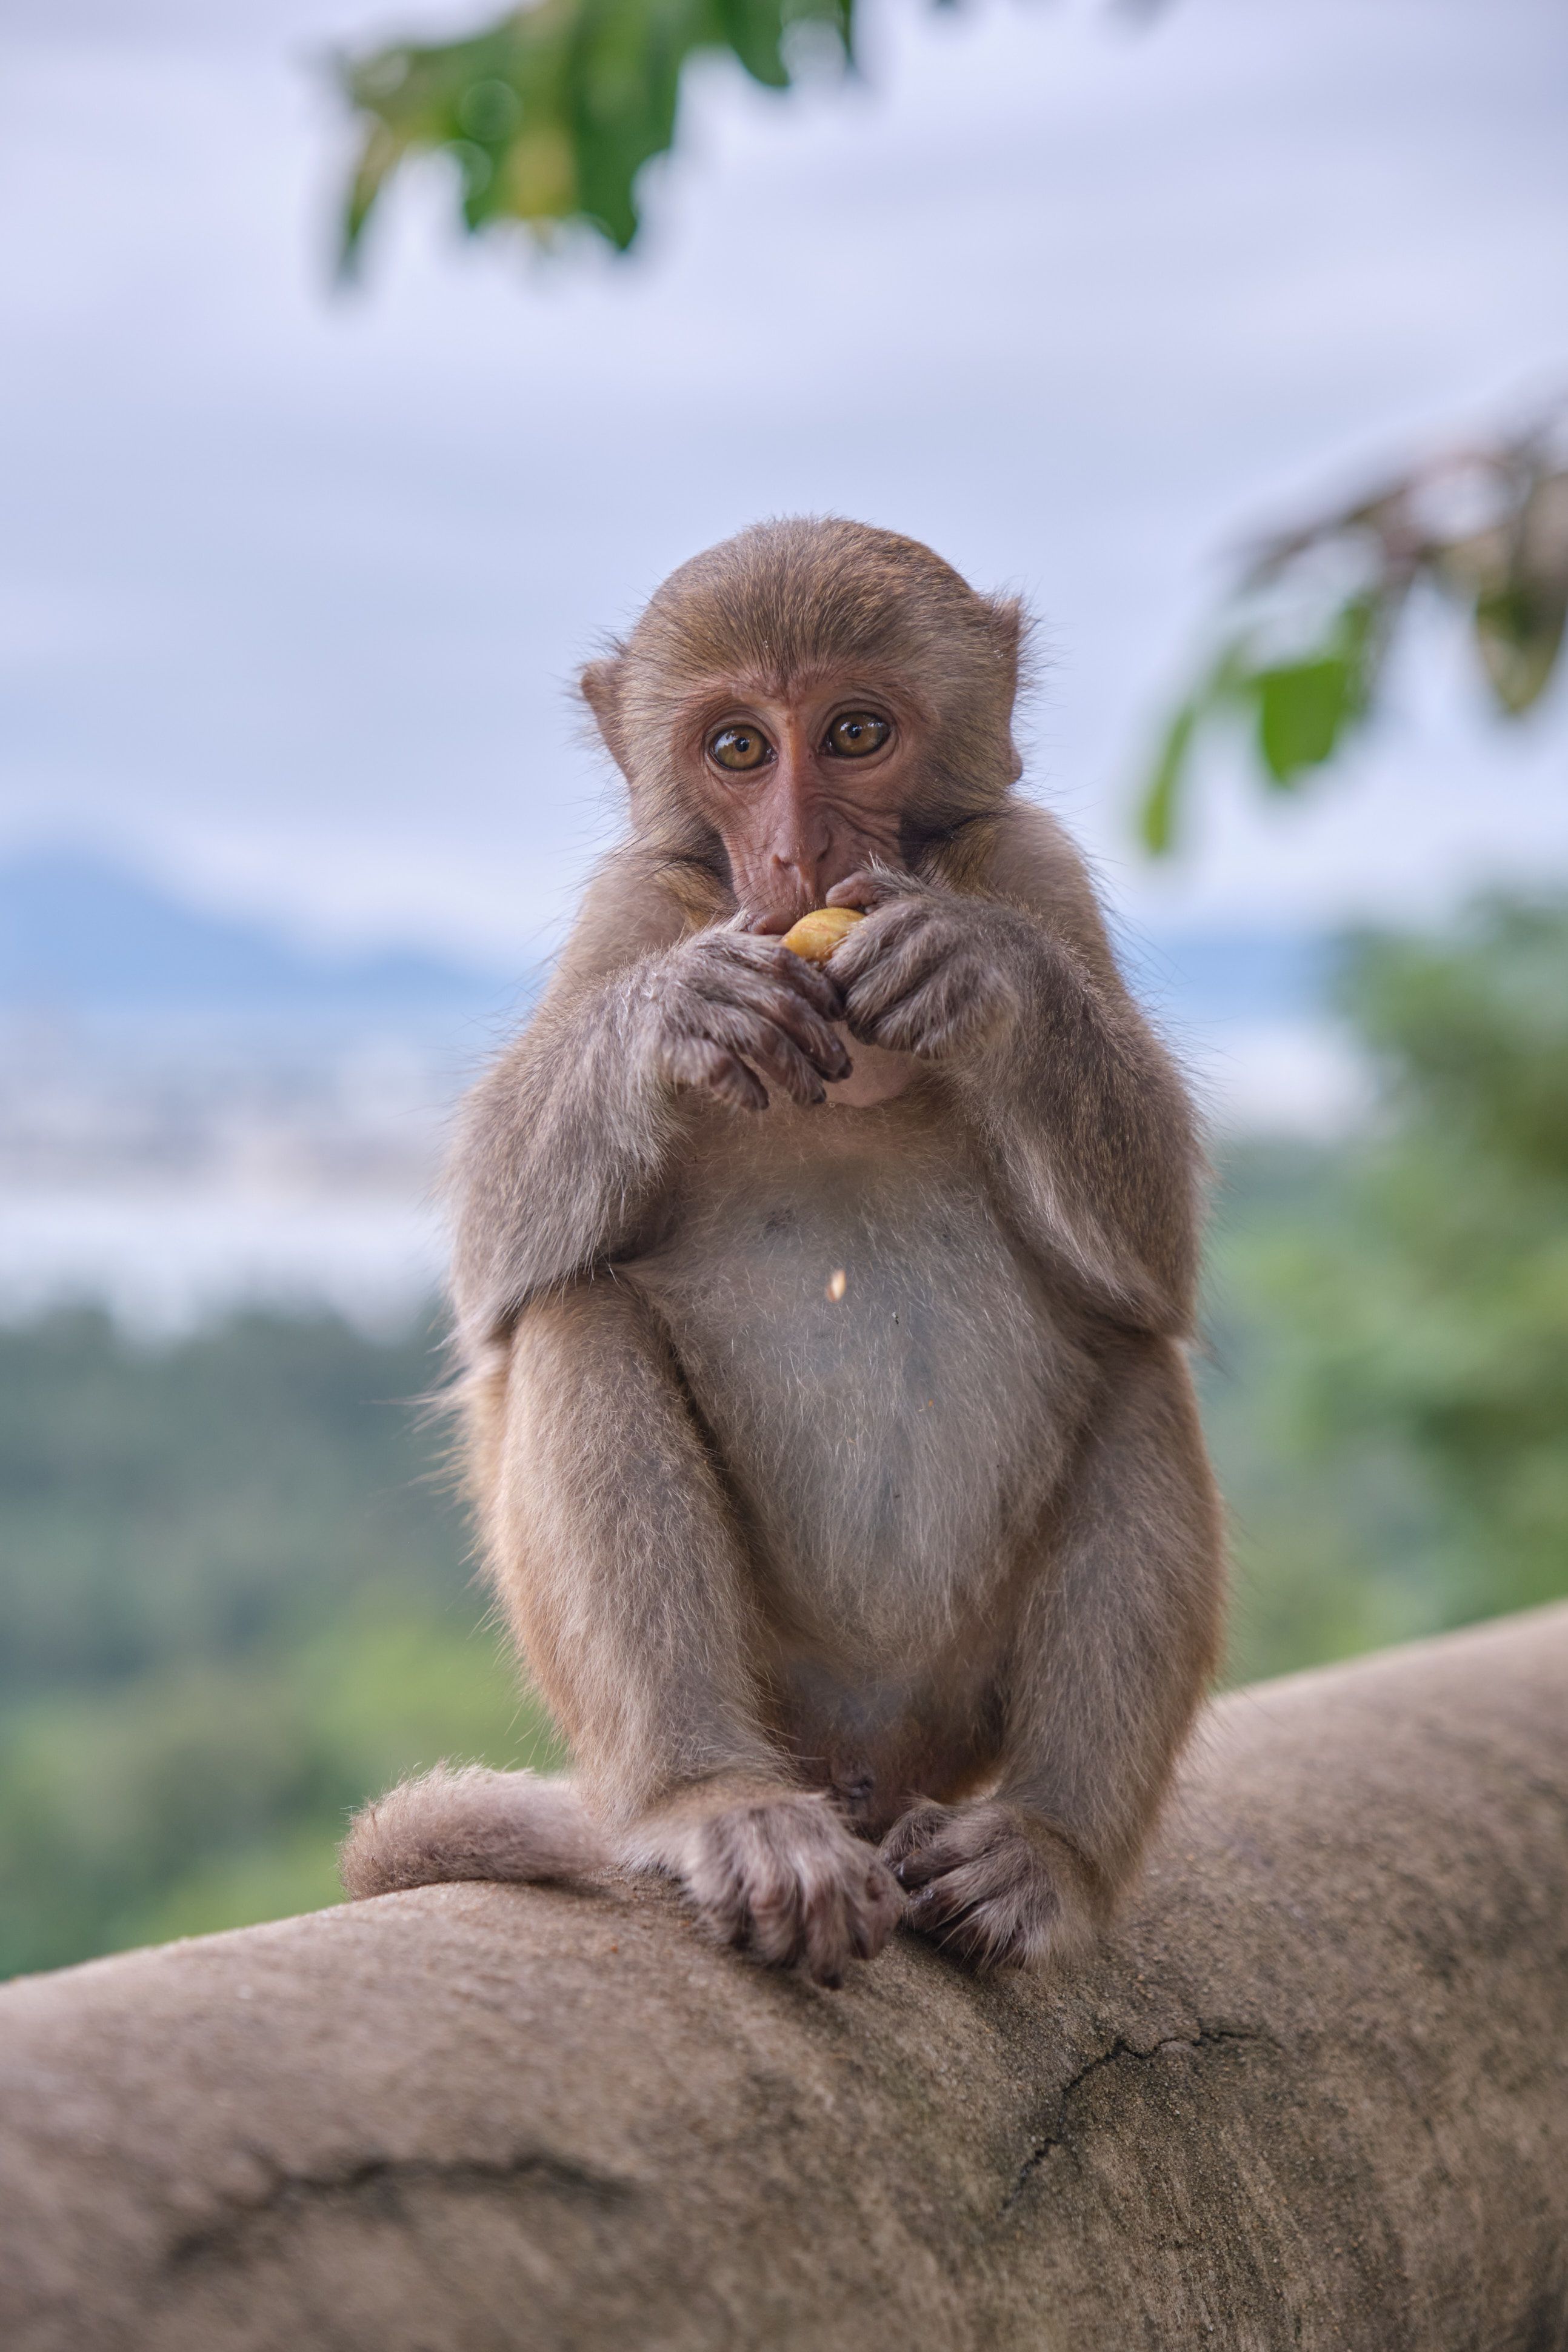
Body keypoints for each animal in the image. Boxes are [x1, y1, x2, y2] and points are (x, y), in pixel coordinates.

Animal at [341, 517, 1225, 1987]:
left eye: (855, 732)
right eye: (740, 748)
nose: (800, 857)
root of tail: (859, 1769)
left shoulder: (1034, 862)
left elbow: (1153, 1253)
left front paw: (978, 972)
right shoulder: (634, 900)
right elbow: (498, 1256)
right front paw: (679, 1012)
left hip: (952, 1711)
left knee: (1135, 1362)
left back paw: (1044, 1848)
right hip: (775, 1698)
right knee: (578, 1319)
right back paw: (714, 1803)